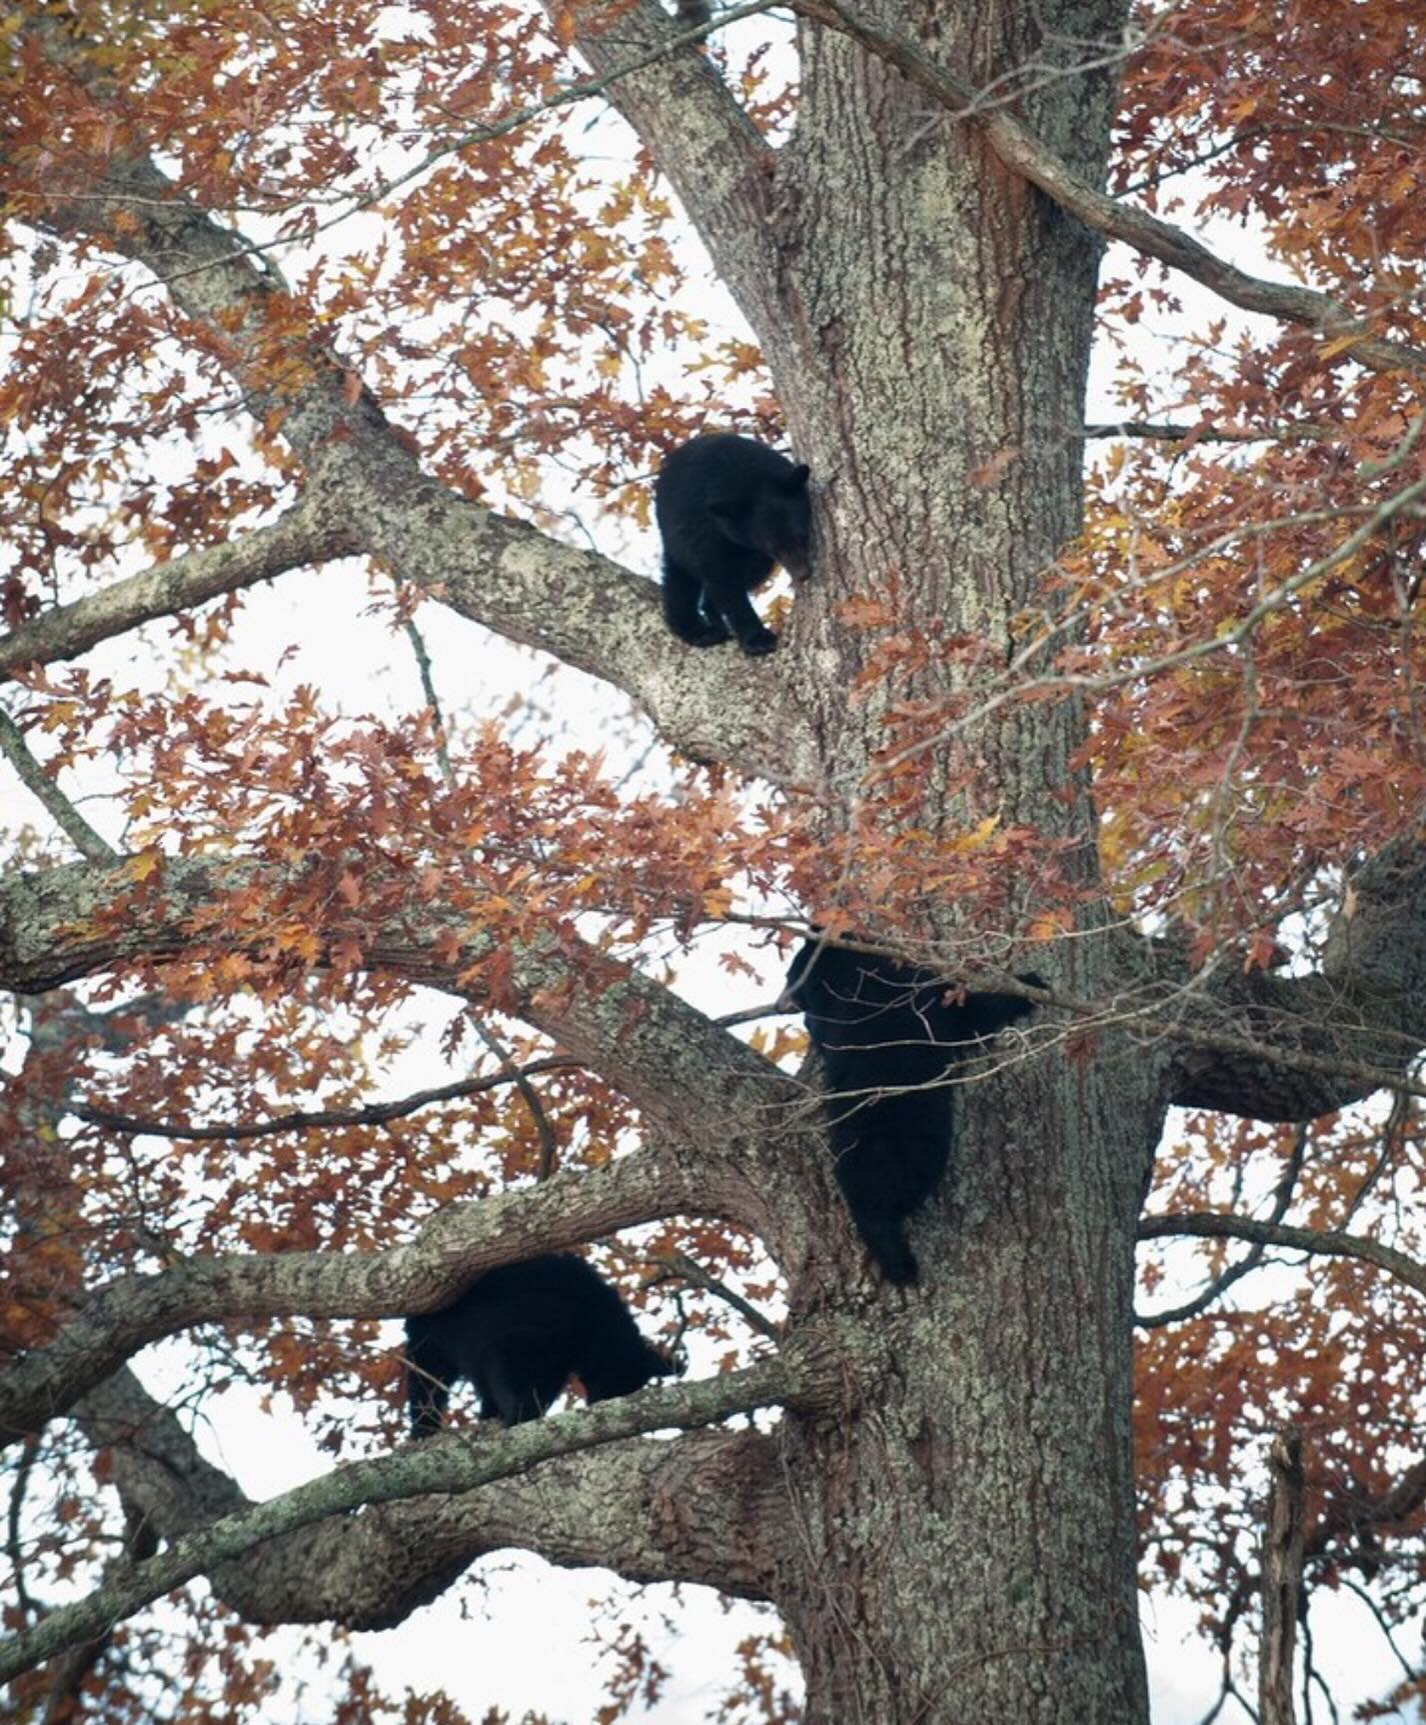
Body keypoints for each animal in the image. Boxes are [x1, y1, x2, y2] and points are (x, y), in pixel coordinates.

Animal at [404, 1253, 679, 1436]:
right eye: (613, 1384)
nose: (600, 1407)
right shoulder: (521, 1333)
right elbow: (506, 1368)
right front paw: (518, 1416)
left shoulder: (557, 1364)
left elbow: (543, 1388)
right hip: (431, 1339)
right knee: (426, 1383)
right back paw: (423, 1428)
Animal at [654, 433, 812, 656]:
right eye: (773, 547)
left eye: (801, 535)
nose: (803, 574)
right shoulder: (705, 527)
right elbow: (723, 580)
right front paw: (758, 639)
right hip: (674, 537)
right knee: (681, 579)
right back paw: (697, 631)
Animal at [784, 937, 1045, 1286]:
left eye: (789, 974)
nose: (784, 999)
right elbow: (969, 1013)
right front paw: (1031, 984)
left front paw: (1031, 984)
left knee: (866, 1198)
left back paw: (897, 1261)